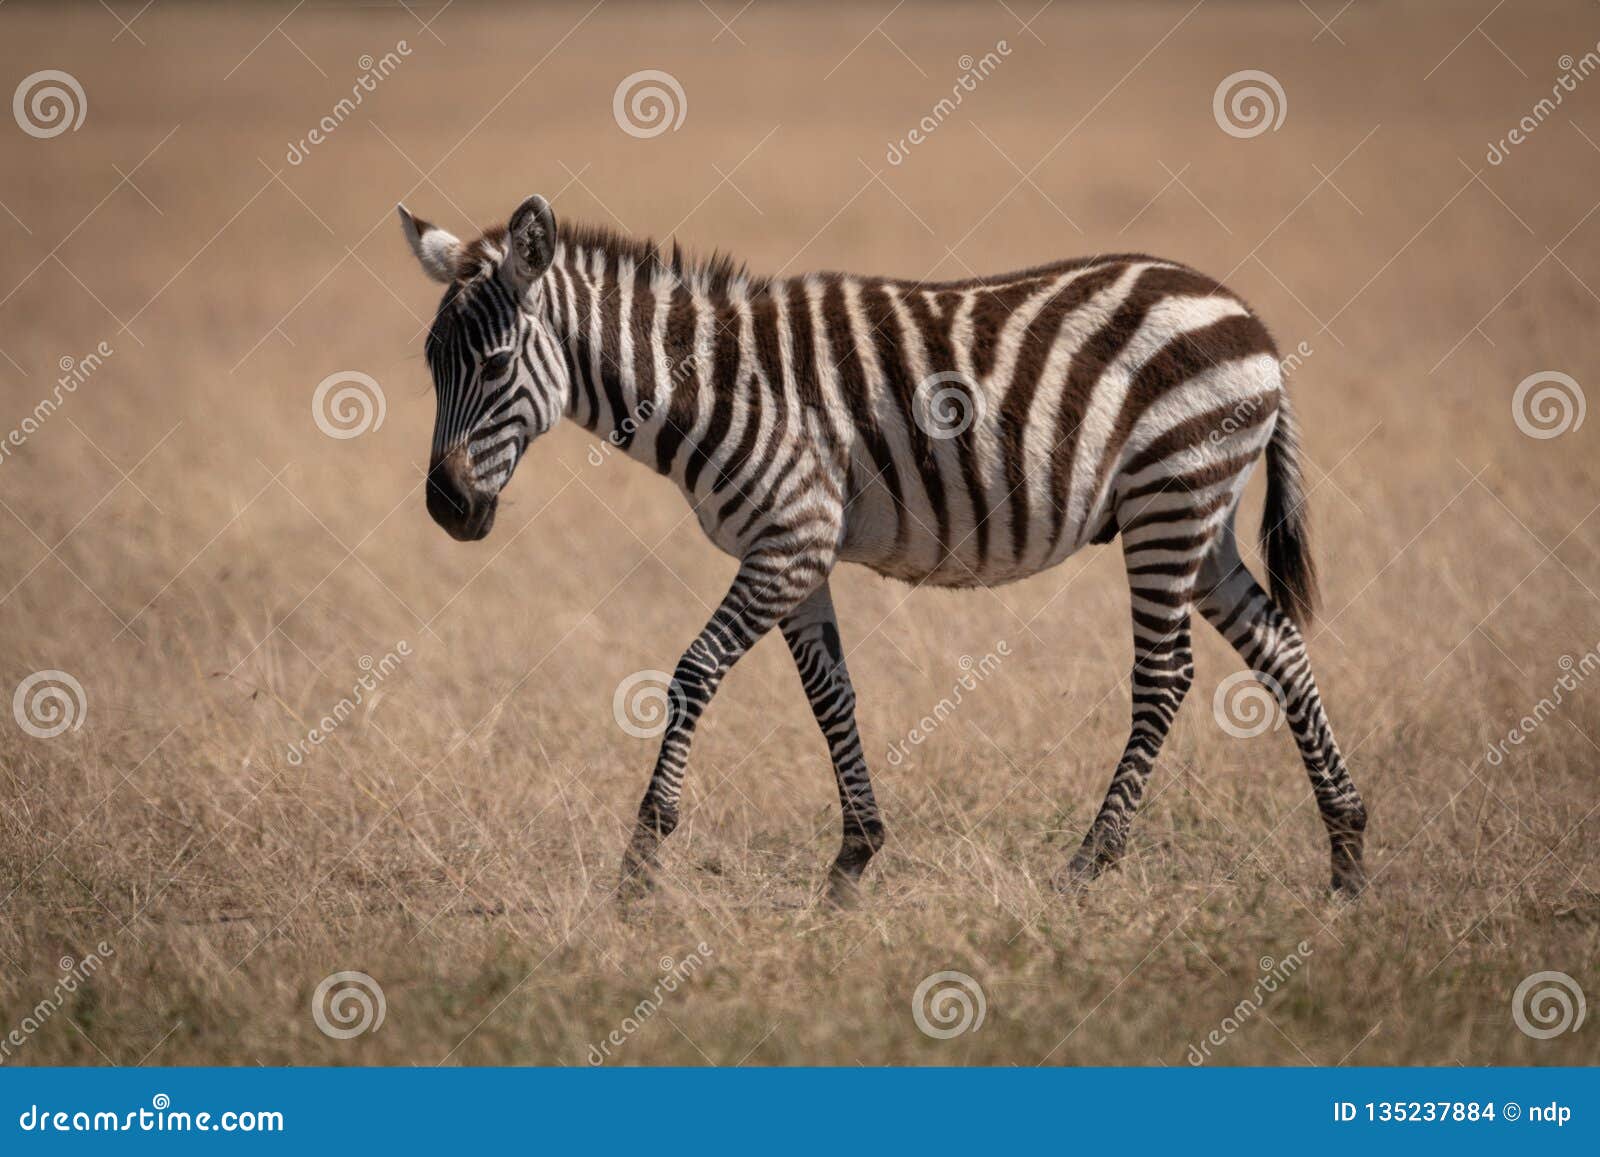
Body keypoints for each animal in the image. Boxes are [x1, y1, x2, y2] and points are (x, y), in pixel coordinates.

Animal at [396, 194, 1368, 902]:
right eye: (431, 361)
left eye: (491, 364)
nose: (447, 509)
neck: (709, 385)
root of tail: (1247, 317)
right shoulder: (794, 551)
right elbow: (832, 695)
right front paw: (854, 857)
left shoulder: (789, 536)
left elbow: (692, 672)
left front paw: (642, 860)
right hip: (1199, 518)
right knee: (1280, 648)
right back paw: (1348, 855)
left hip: (1173, 497)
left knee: (1167, 678)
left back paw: (1090, 864)